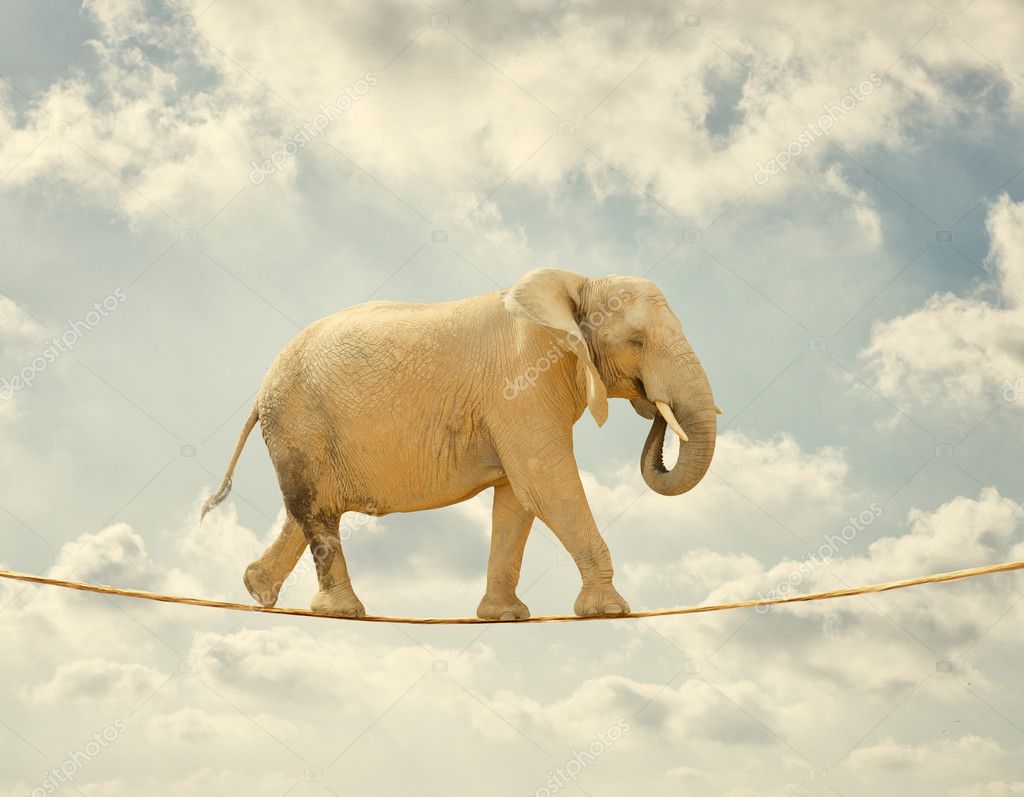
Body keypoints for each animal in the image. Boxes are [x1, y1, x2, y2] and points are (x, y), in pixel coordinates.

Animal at [201, 268, 720, 619]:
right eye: (636, 342)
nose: (654, 408)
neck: (576, 286)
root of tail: (260, 390)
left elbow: (517, 498)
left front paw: (504, 616)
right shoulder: (522, 382)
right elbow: (544, 482)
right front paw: (609, 610)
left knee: (306, 509)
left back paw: (258, 591)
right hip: (299, 420)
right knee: (318, 509)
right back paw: (342, 611)